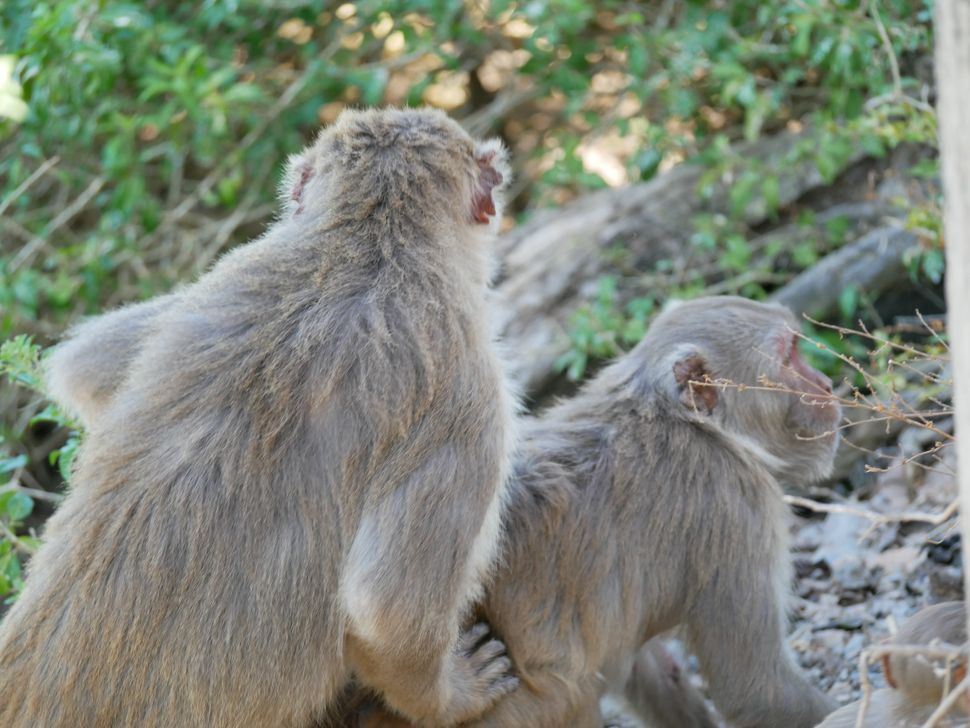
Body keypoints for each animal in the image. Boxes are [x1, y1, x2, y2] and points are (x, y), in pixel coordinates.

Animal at [0, 107, 520, 728]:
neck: (371, 240)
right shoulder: (473, 395)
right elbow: (386, 610)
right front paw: (450, 699)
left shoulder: (228, 273)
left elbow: (84, 368)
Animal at [327, 295, 839, 728]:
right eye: (791, 356)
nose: (829, 386)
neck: (687, 420)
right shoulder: (740, 505)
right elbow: (756, 690)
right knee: (568, 689)